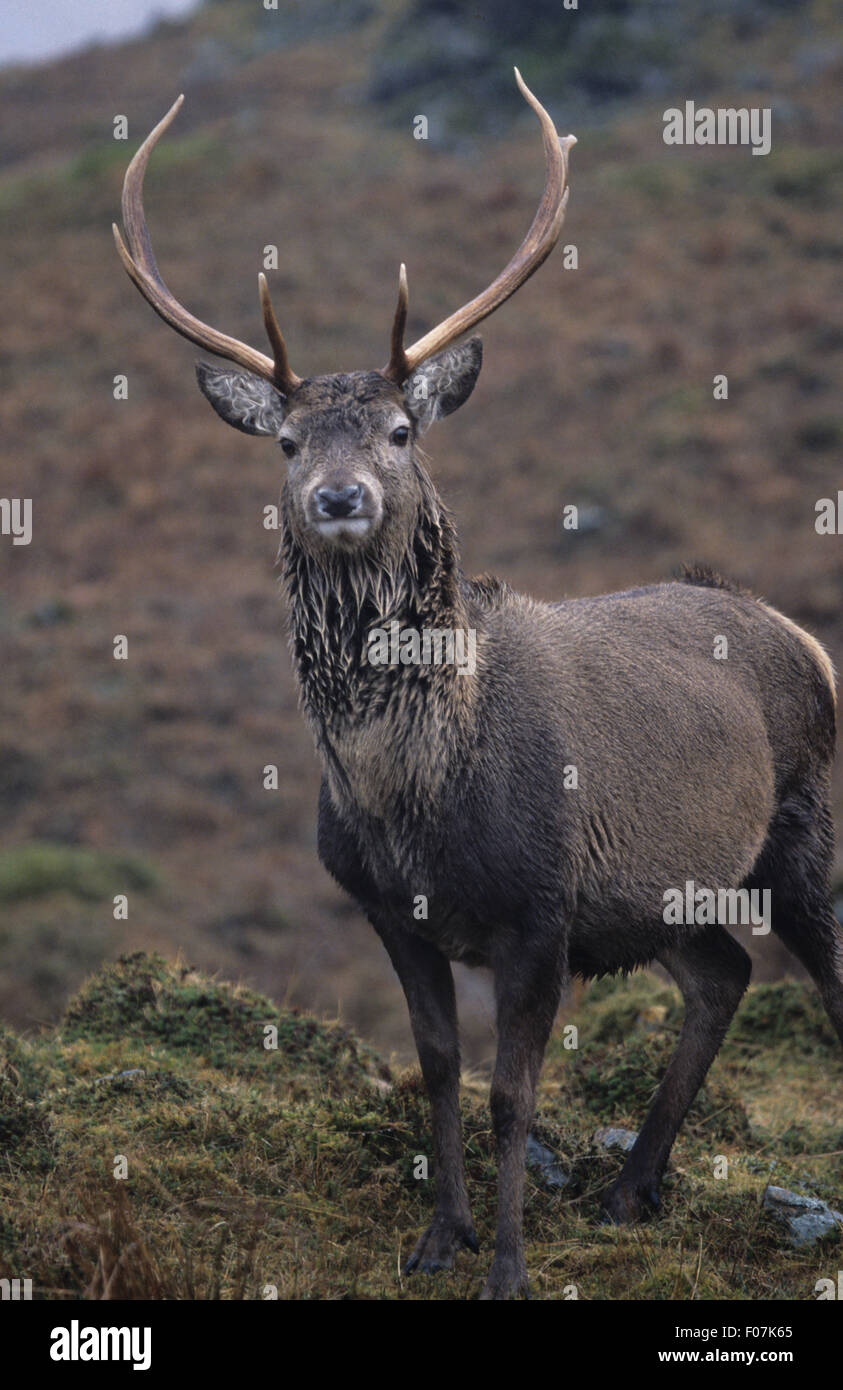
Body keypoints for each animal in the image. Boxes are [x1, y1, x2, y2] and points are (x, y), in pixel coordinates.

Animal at [114, 71, 842, 1300]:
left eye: (402, 429)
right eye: (287, 443)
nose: (340, 496)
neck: (415, 800)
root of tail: (802, 631)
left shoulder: (539, 908)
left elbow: (513, 1095)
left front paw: (506, 1264)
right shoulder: (390, 912)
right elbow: (440, 1070)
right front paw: (436, 1237)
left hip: (806, 833)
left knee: (824, 979)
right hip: (669, 890)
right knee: (723, 975)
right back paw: (630, 1189)